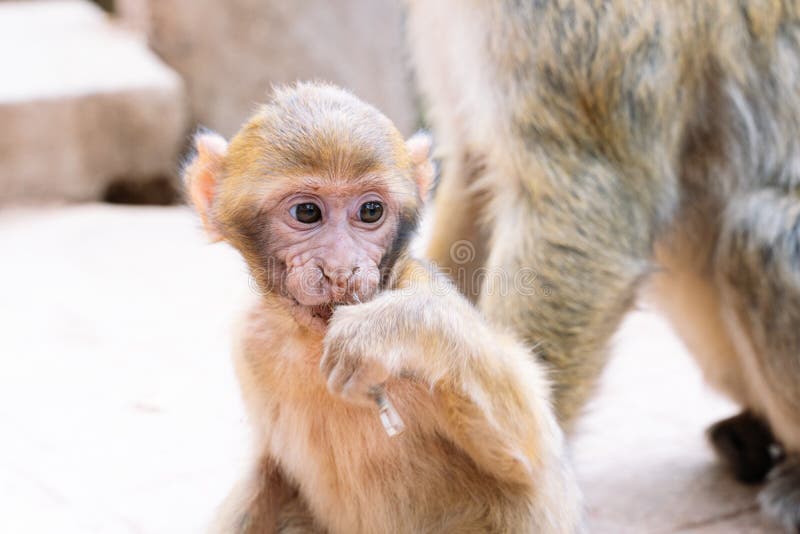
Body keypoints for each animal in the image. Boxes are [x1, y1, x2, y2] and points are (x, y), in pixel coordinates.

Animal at [183, 82, 582, 533]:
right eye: (307, 212)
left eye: (370, 211)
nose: (341, 269)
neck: (311, 338)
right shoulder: (252, 338)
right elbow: (270, 473)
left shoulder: (419, 284)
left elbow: (531, 454)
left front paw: (390, 329)